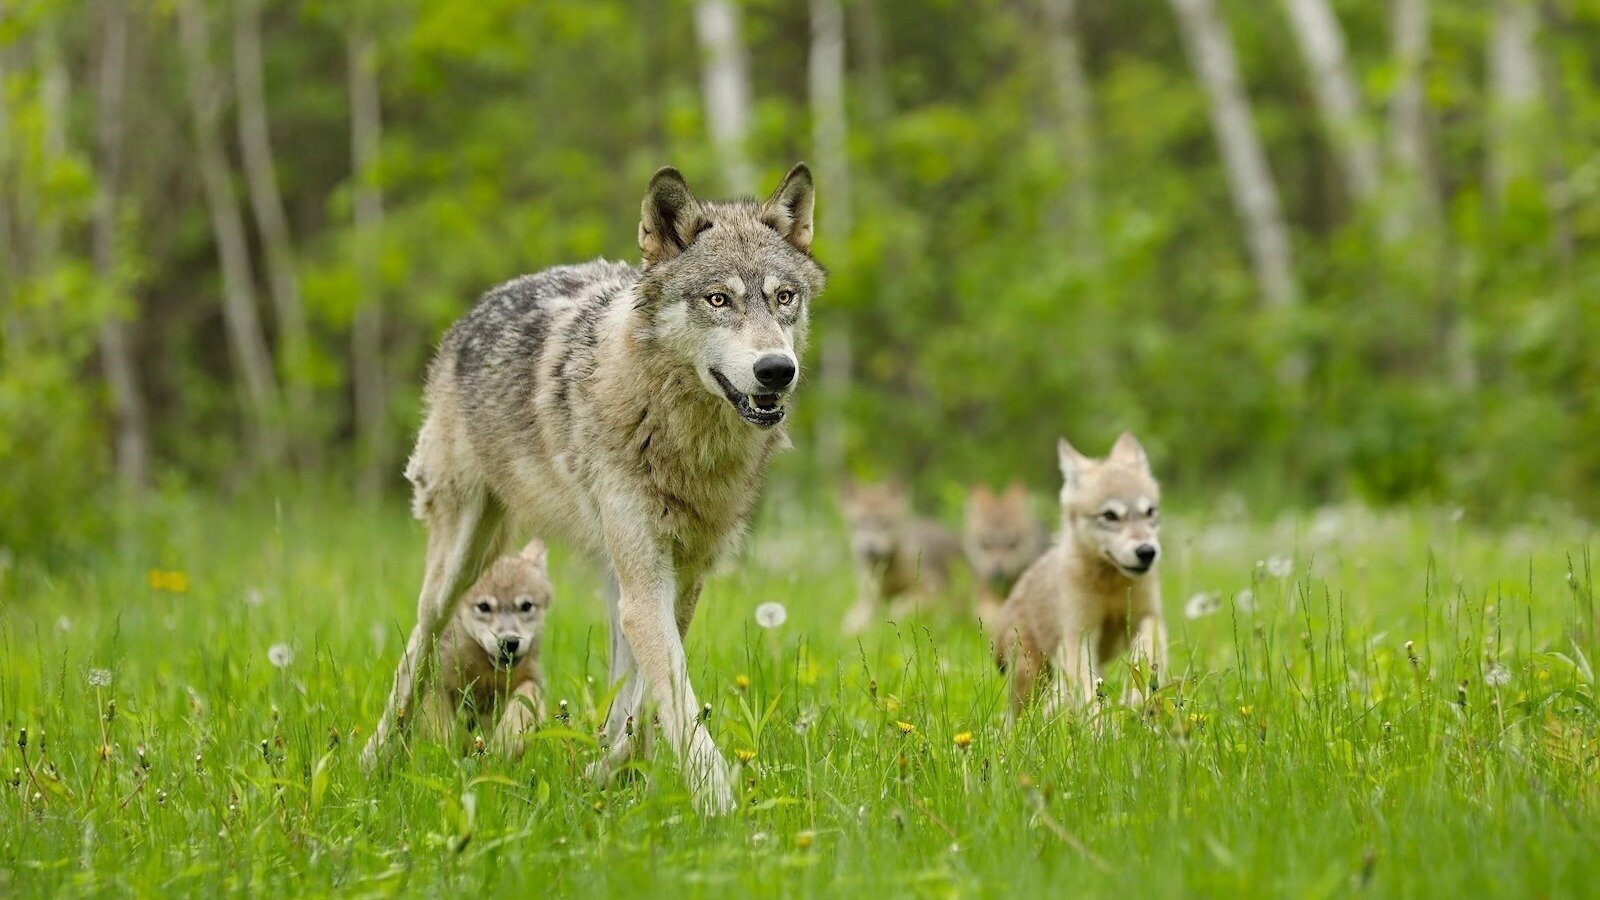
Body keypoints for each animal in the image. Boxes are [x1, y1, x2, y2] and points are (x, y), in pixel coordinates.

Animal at [421, 540, 552, 757]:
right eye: (484, 607)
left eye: (526, 606)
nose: (509, 642)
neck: (486, 673)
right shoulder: (437, 683)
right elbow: (443, 729)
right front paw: (448, 754)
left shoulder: (532, 679)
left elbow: (525, 698)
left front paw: (509, 739)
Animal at [839, 480, 964, 634]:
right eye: (857, 524)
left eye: (885, 523)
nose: (869, 546)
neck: (889, 572)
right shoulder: (869, 599)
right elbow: (852, 621)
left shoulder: (933, 588)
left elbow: (899, 606)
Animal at [992, 433, 1167, 716]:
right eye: (1109, 515)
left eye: (1150, 512)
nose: (1146, 552)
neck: (1111, 585)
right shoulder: (1079, 635)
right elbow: (1087, 692)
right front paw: (1099, 725)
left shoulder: (1149, 618)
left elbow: (1147, 655)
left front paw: (1137, 699)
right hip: (1029, 675)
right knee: (1017, 716)